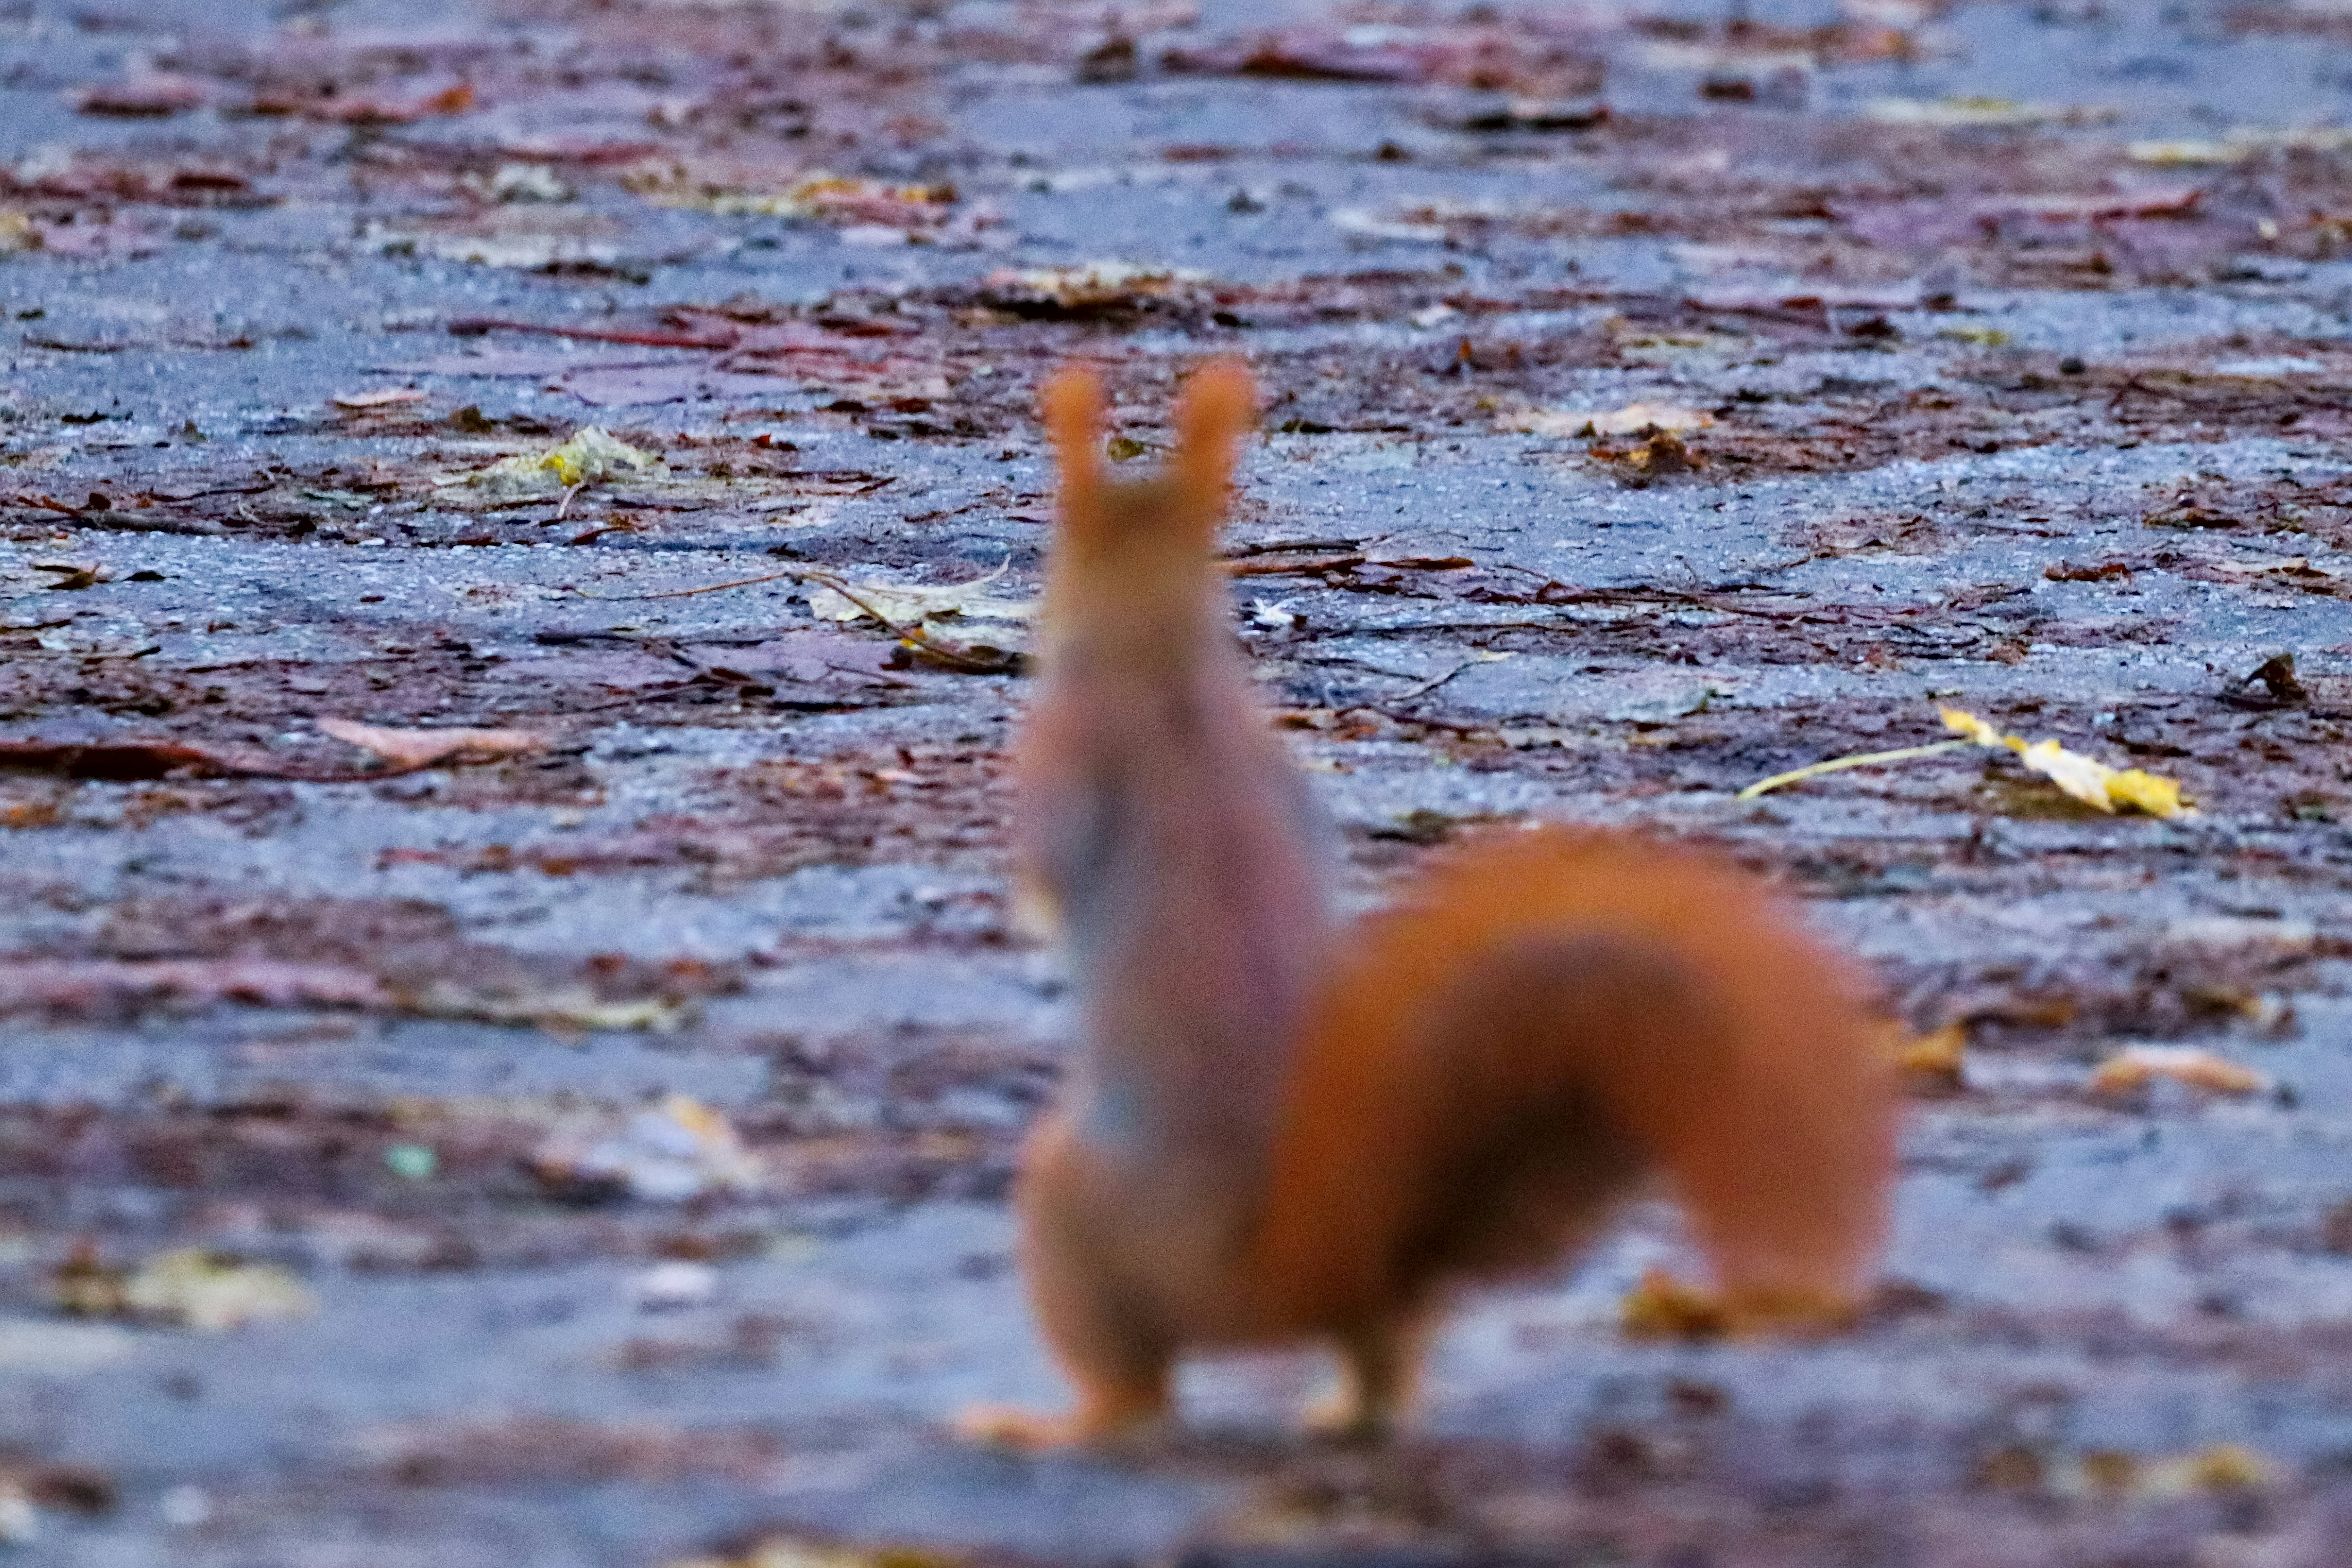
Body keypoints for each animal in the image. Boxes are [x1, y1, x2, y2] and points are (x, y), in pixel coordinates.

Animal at [962, 358, 1897, 1448]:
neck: (1165, 667)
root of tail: (1300, 1262)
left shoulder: (1073, 762)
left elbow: (1050, 873)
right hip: (1354, 1301)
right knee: (1378, 1363)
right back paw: (1339, 1410)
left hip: (1071, 1209)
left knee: (1139, 1392)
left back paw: (1038, 1423)